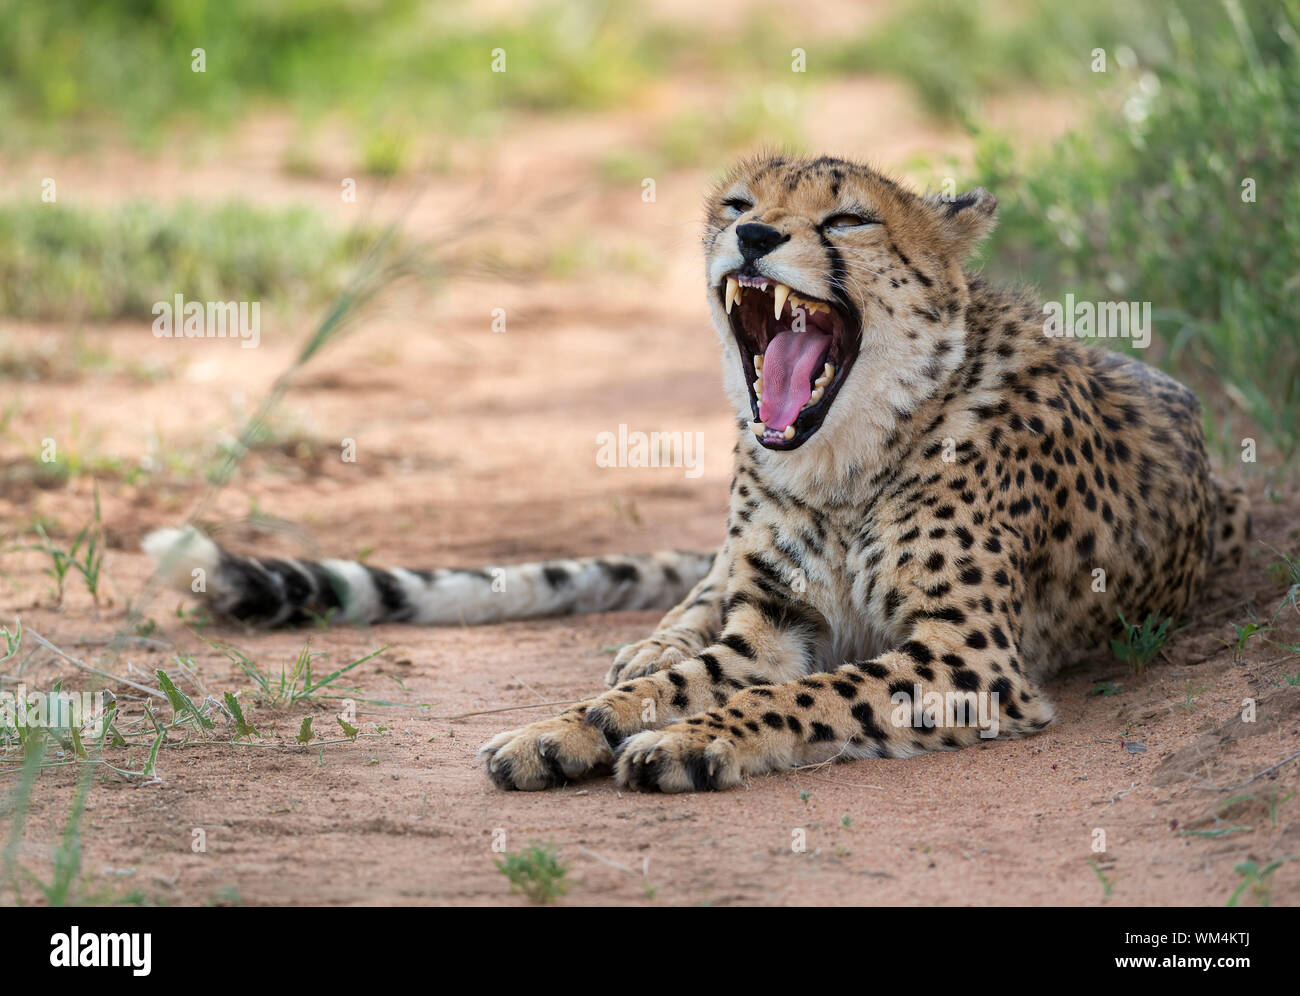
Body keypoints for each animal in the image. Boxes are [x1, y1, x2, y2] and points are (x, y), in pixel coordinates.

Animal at [146, 153, 1249, 793]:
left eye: (847, 221)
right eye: (739, 204)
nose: (752, 237)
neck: (847, 460)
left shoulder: (972, 660)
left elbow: (814, 695)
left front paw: (689, 741)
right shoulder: (776, 622)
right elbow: (683, 676)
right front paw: (570, 729)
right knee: (687, 607)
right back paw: (644, 641)